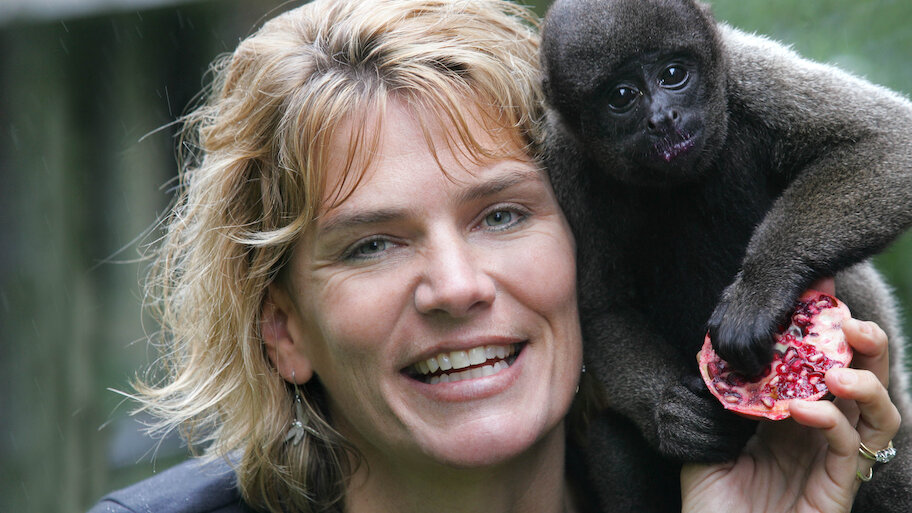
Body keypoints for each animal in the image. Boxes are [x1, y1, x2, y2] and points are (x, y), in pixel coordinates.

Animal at [539, 0, 912, 511]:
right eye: (622, 96)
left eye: (673, 74)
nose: (664, 117)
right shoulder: (563, 161)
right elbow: (600, 307)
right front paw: (672, 414)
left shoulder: (752, 77)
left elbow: (889, 142)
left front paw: (759, 290)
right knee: (610, 444)